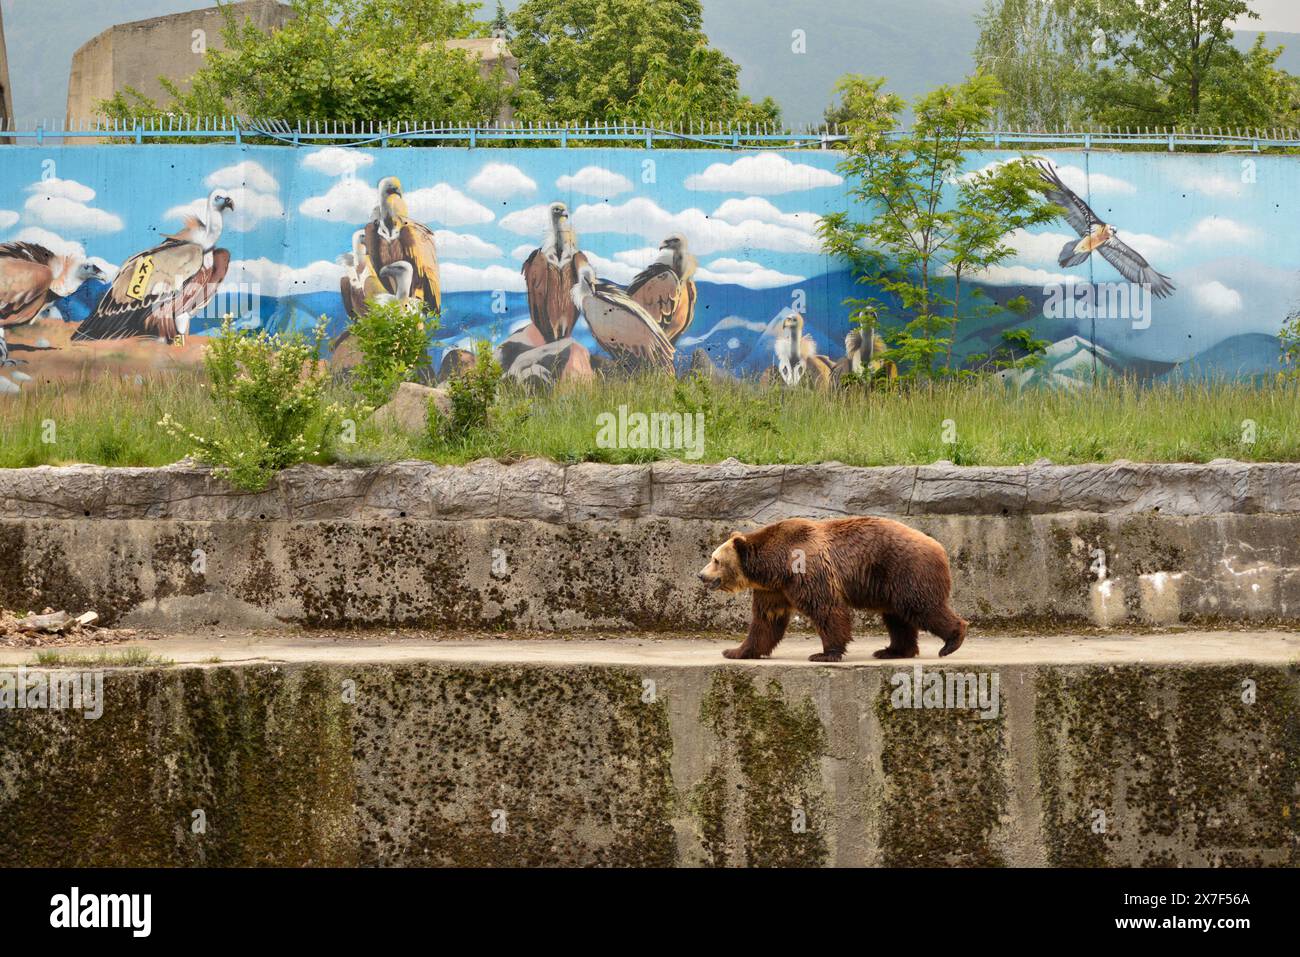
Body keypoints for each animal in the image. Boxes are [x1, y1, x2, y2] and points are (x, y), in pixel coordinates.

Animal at [697, 516, 967, 662]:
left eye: (716, 560)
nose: (700, 575)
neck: (775, 567)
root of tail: (940, 547)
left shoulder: (806, 569)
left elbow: (825, 608)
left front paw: (824, 654)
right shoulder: (774, 589)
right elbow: (766, 621)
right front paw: (735, 651)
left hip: (906, 570)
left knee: (922, 607)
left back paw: (952, 641)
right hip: (889, 585)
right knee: (897, 618)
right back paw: (892, 650)